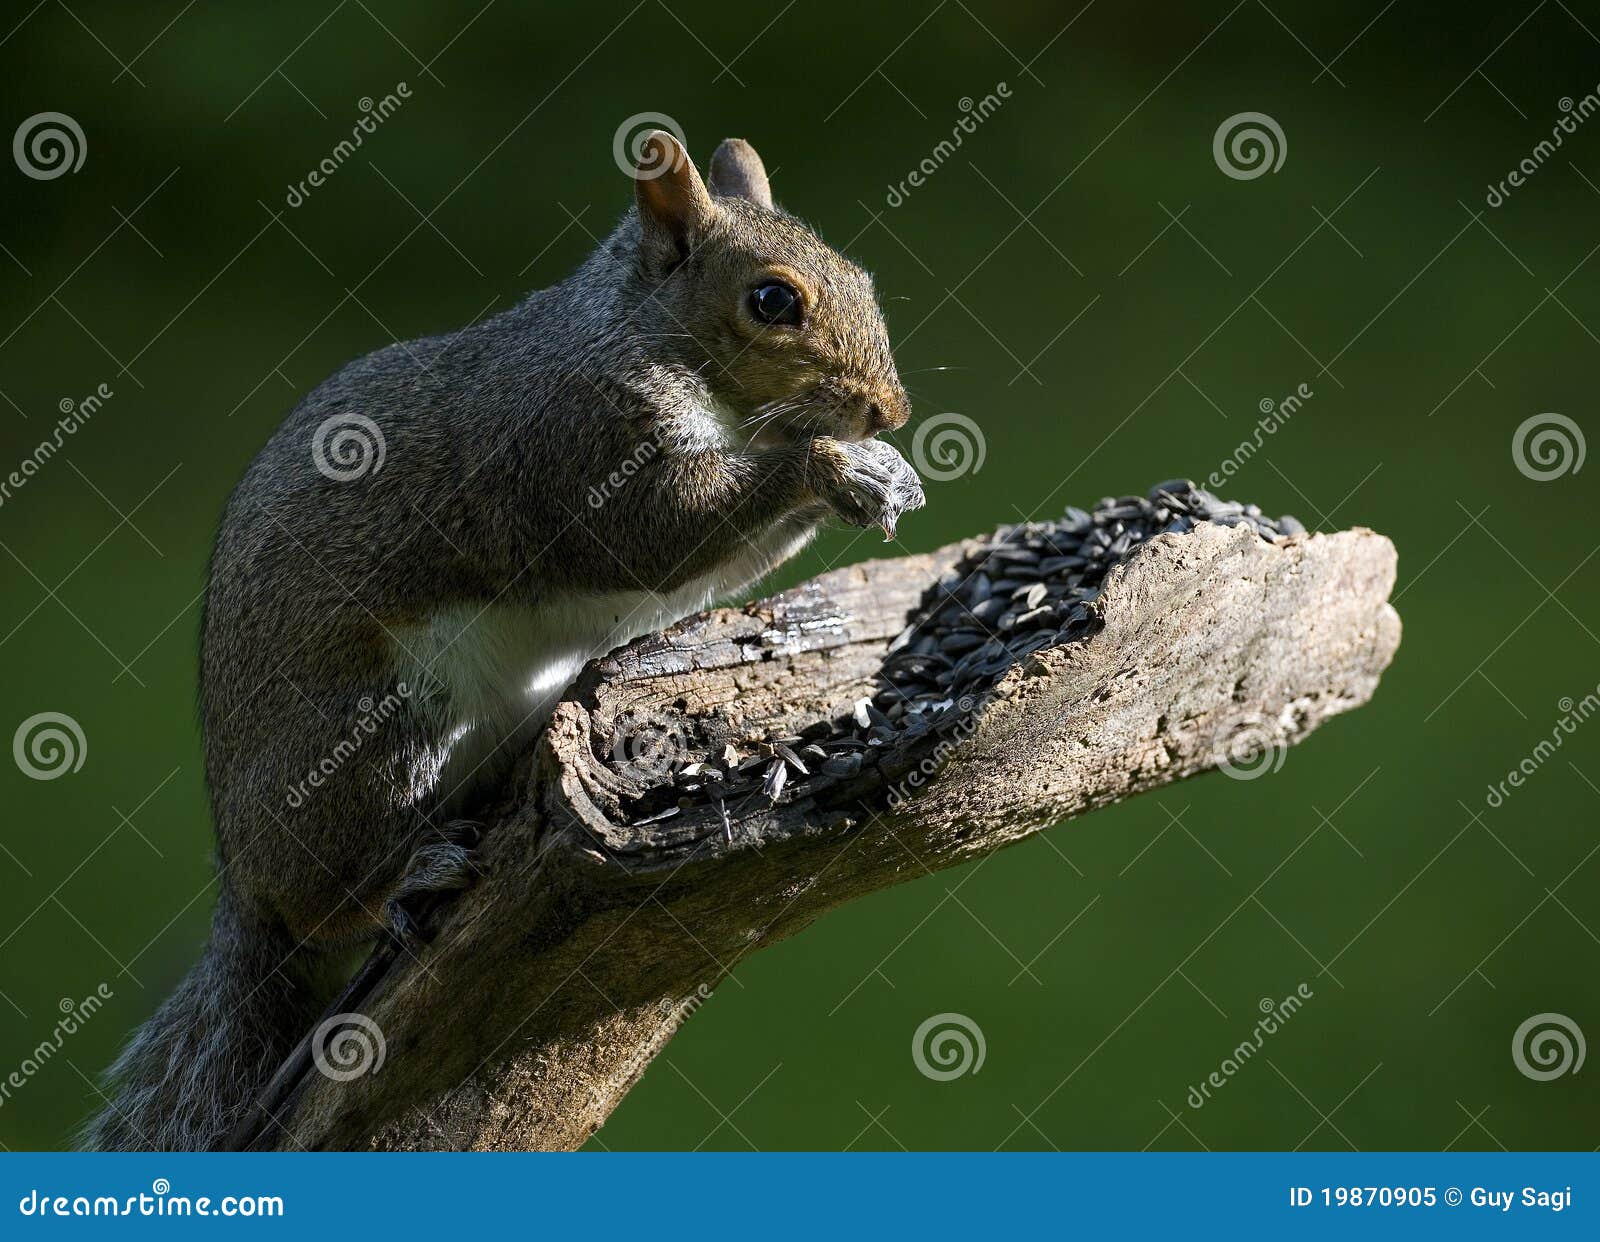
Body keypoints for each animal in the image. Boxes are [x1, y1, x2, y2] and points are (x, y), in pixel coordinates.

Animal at [84, 131, 925, 1151]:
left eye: (861, 277)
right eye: (773, 301)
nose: (889, 411)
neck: (638, 334)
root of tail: (241, 881)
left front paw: (882, 473)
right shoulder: (579, 443)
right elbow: (661, 533)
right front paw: (825, 466)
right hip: (374, 739)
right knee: (327, 907)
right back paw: (407, 877)